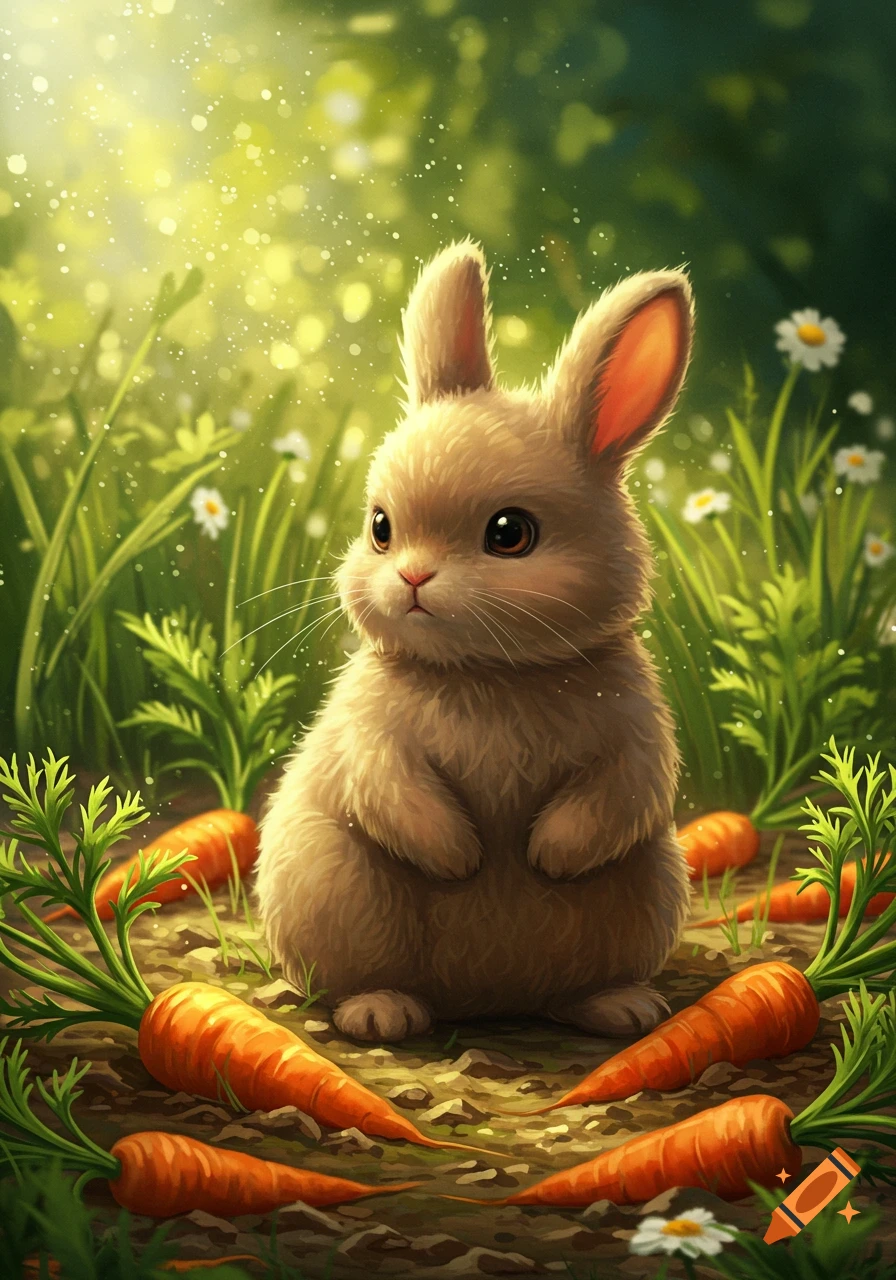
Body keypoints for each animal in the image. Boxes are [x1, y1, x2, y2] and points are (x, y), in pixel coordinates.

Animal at [256, 239, 693, 1044]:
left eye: (509, 533)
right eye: (380, 527)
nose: (412, 577)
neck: (489, 672)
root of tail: (486, 1002)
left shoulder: (638, 734)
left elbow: (621, 792)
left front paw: (548, 856)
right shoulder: (370, 734)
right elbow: (391, 787)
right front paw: (461, 859)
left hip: (647, 889)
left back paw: (622, 1008)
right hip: (332, 887)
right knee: (361, 981)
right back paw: (381, 1014)